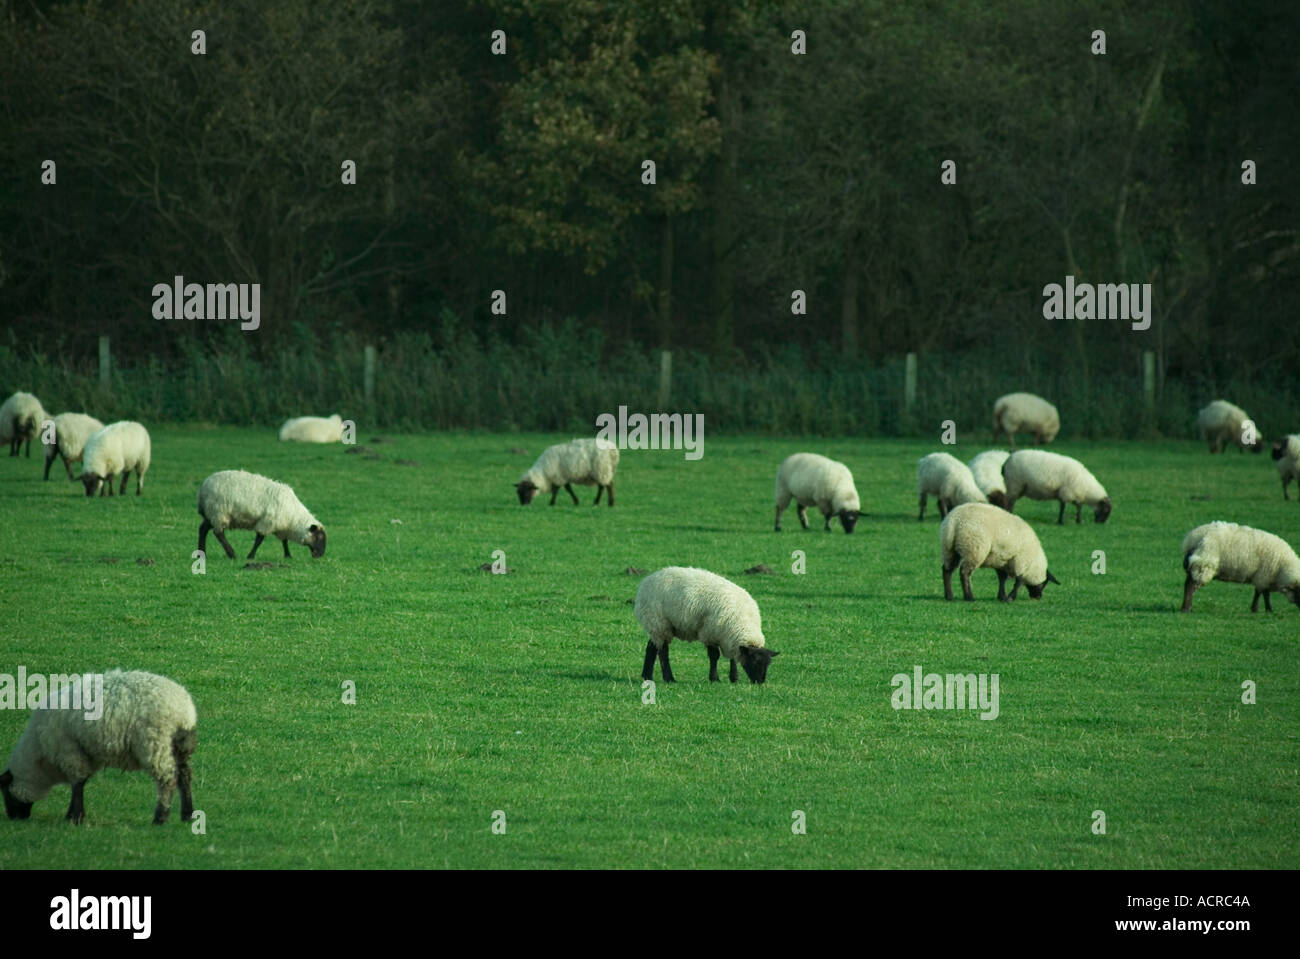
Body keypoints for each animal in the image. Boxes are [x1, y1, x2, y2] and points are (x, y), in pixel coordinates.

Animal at [0, 669, 197, 825]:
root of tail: (184, 712)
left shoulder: (69, 751)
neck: (40, 755)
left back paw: (160, 818)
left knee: (167, 780)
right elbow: (81, 782)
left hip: (155, 743)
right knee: (184, 777)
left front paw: (75, 817)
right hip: (180, 747)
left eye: (4, 792)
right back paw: (187, 815)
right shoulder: (86, 753)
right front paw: (72, 815)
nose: (14, 817)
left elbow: (77, 783)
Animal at [197, 469, 326, 559]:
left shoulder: (281, 527)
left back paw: (201, 553)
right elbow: (259, 540)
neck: (293, 518)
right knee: (218, 533)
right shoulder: (266, 522)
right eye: (318, 537)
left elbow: (284, 541)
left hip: (210, 514)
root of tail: (203, 487)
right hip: (219, 512)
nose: (321, 555)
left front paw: (288, 555)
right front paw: (250, 556)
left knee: (203, 529)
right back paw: (231, 554)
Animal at [635, 566, 779, 684]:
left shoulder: (728, 638)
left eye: (768, 664)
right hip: (659, 623)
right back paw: (669, 678)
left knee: (651, 647)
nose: (760, 682)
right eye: (754, 661)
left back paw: (647, 676)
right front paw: (714, 678)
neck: (743, 621)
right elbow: (714, 656)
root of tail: (646, 581)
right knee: (663, 651)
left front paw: (734, 678)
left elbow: (732, 657)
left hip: (657, 627)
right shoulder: (710, 633)